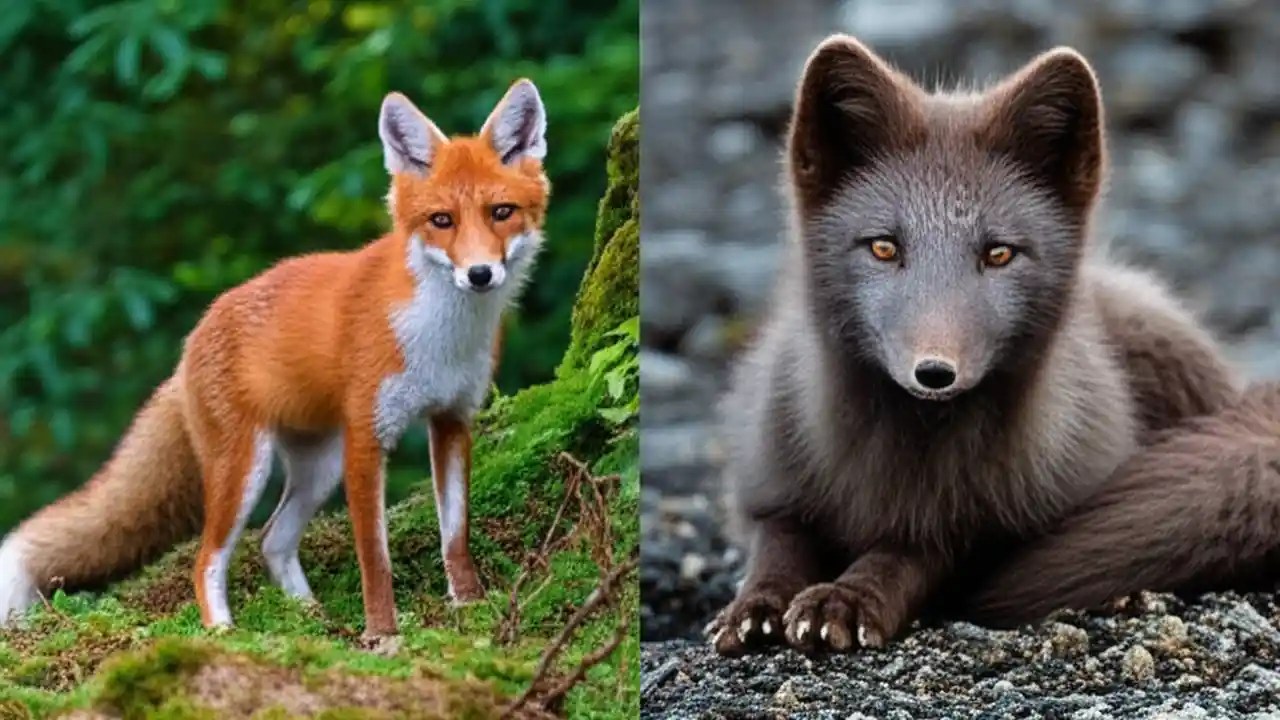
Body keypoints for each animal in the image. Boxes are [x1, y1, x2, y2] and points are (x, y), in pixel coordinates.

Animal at [0, 78, 551, 637]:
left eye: (501, 212)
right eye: (442, 221)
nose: (480, 274)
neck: (441, 335)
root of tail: (190, 345)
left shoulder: (452, 419)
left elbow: (455, 535)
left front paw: (470, 605)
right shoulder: (367, 436)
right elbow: (375, 559)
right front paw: (382, 635)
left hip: (317, 467)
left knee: (272, 540)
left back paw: (310, 618)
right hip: (245, 468)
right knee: (208, 559)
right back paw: (225, 633)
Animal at [705, 34, 1279, 657]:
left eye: (999, 254)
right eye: (884, 247)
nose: (934, 372)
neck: (895, 462)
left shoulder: (994, 527)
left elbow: (913, 553)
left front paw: (848, 598)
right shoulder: (768, 480)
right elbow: (777, 541)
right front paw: (756, 606)